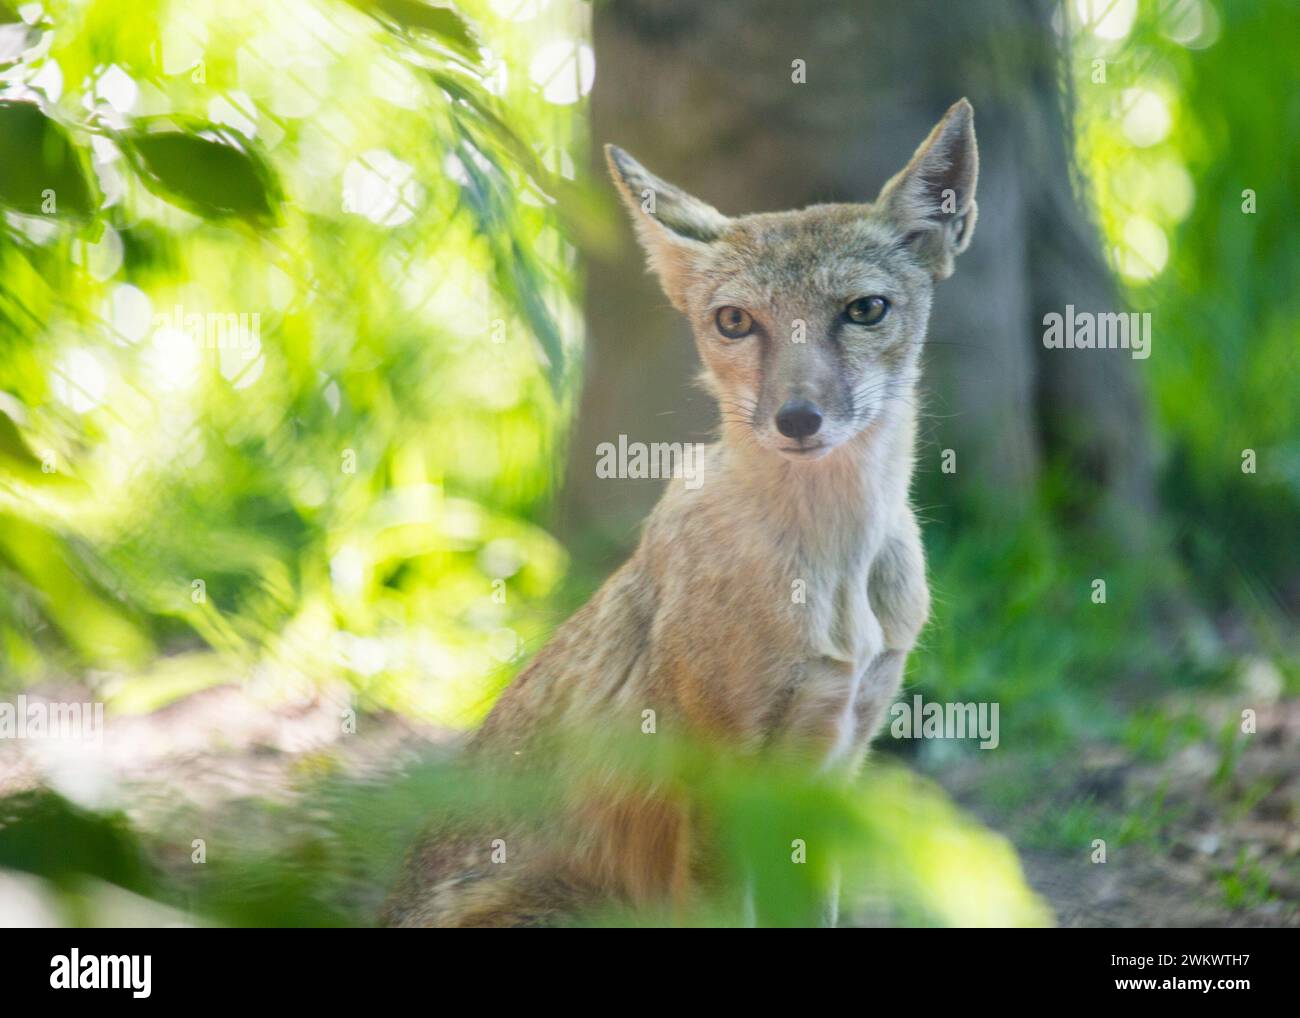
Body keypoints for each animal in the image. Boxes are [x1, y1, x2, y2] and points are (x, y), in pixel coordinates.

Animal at [382, 99, 979, 927]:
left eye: (865, 310)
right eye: (735, 322)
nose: (798, 419)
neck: (833, 571)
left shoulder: (832, 768)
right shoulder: (722, 785)